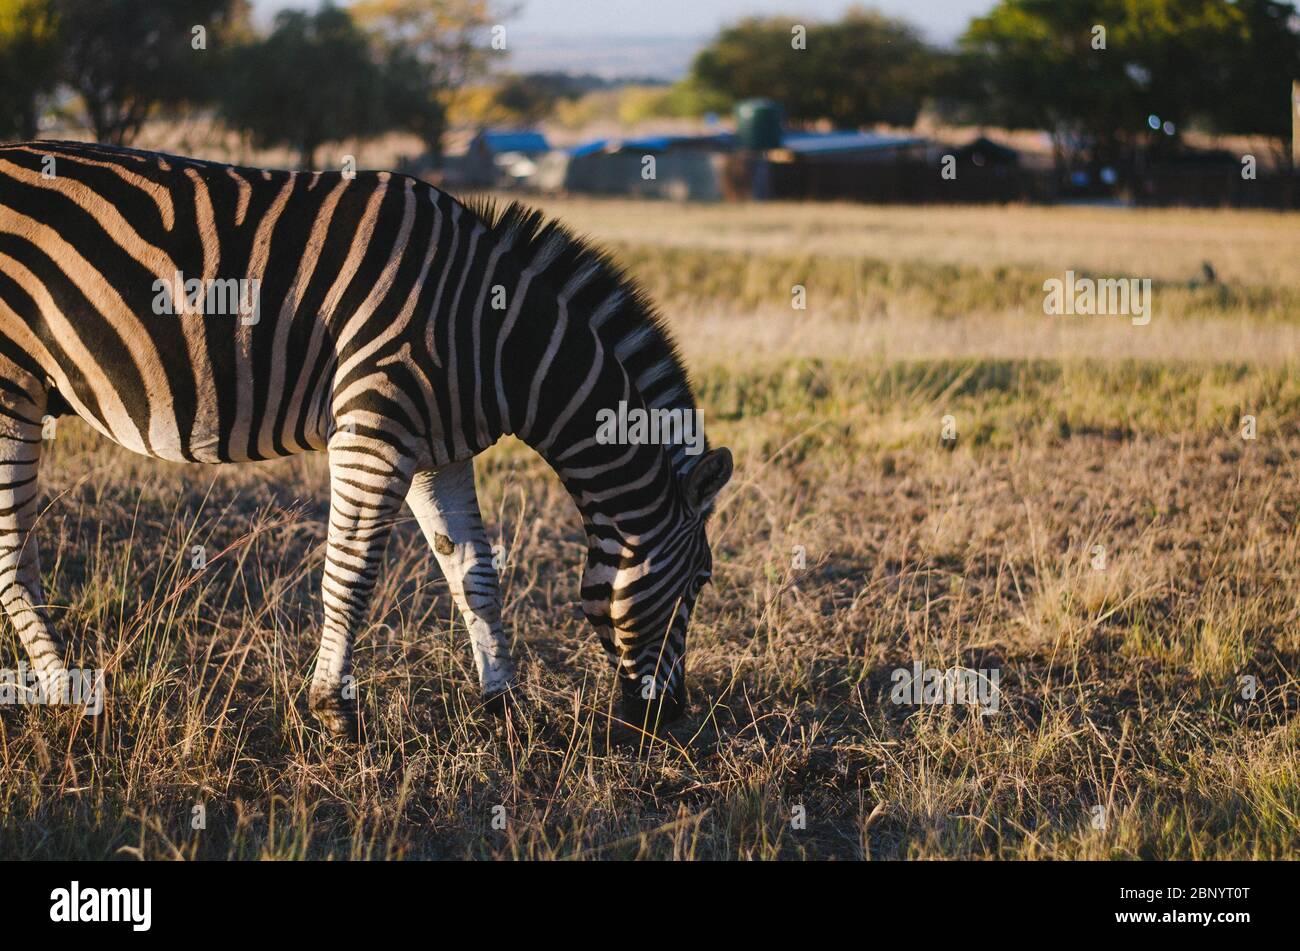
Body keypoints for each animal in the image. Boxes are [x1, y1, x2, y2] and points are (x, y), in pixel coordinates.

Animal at [0, 140, 732, 735]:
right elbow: (349, 574)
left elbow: (474, 572)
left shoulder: (440, 449)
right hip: (12, 386)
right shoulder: (374, 425)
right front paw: (333, 710)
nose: (670, 719)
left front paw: (505, 707)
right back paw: (71, 698)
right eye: (700, 580)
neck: (494, 337)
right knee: (13, 556)